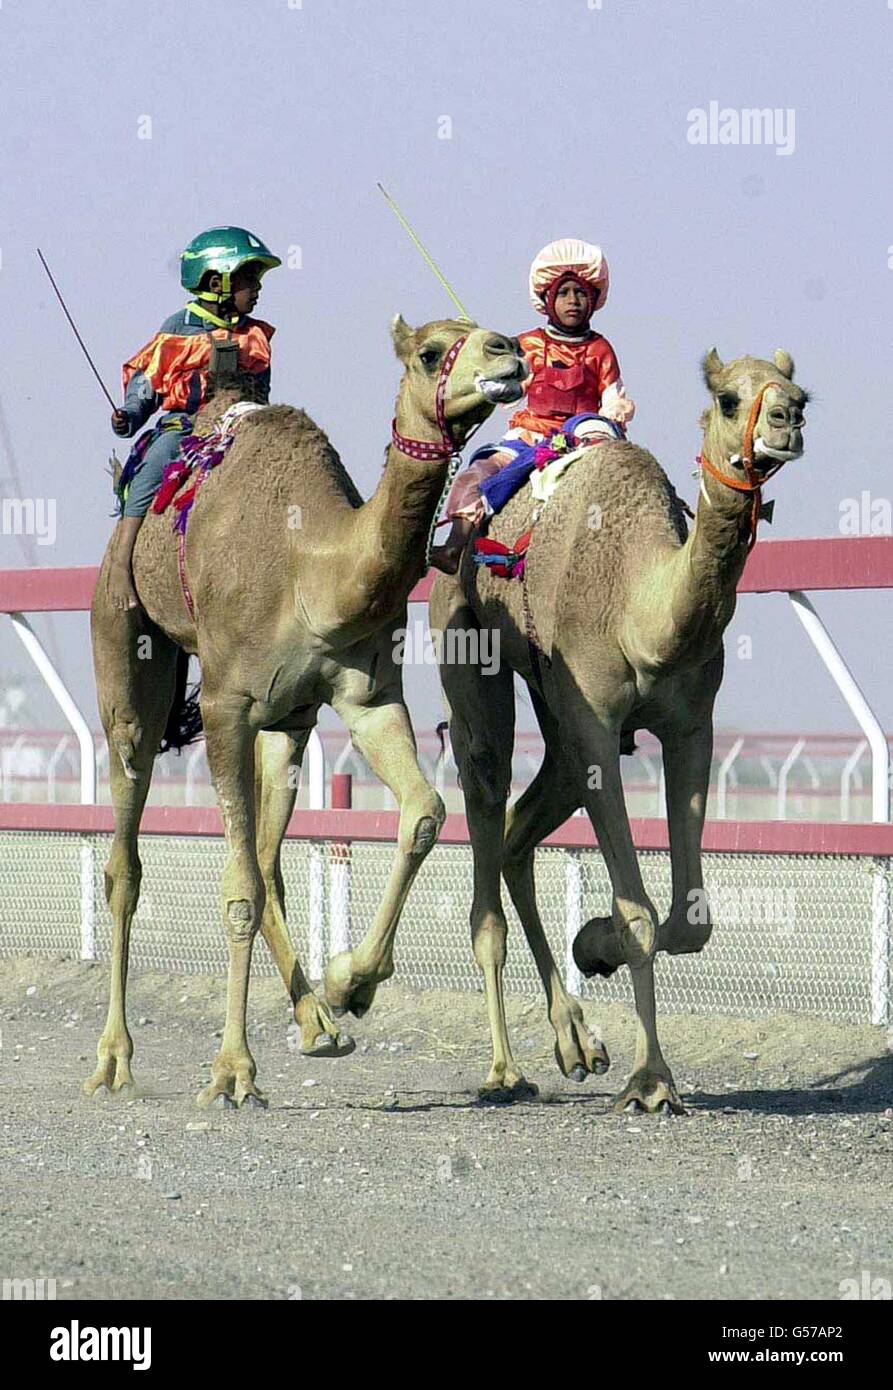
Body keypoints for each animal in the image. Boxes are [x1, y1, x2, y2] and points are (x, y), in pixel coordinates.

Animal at [86, 316, 526, 1107]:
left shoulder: (366, 696)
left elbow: (422, 813)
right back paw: (113, 1060)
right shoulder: (226, 704)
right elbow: (235, 889)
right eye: (431, 352)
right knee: (128, 858)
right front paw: (233, 1071)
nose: (509, 352)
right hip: (126, 646)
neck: (312, 564)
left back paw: (319, 1022)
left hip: (285, 726)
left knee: (268, 857)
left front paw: (352, 982)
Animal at [429, 348, 807, 1112]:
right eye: (729, 399)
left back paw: (576, 1042)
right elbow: (637, 913)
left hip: (557, 718)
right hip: (467, 642)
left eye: (801, 395)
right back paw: (503, 1070)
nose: (785, 422)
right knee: (486, 787)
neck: (644, 613)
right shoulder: (599, 724)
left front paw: (592, 945)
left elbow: (691, 920)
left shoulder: (692, 725)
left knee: (517, 830)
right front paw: (651, 1081)